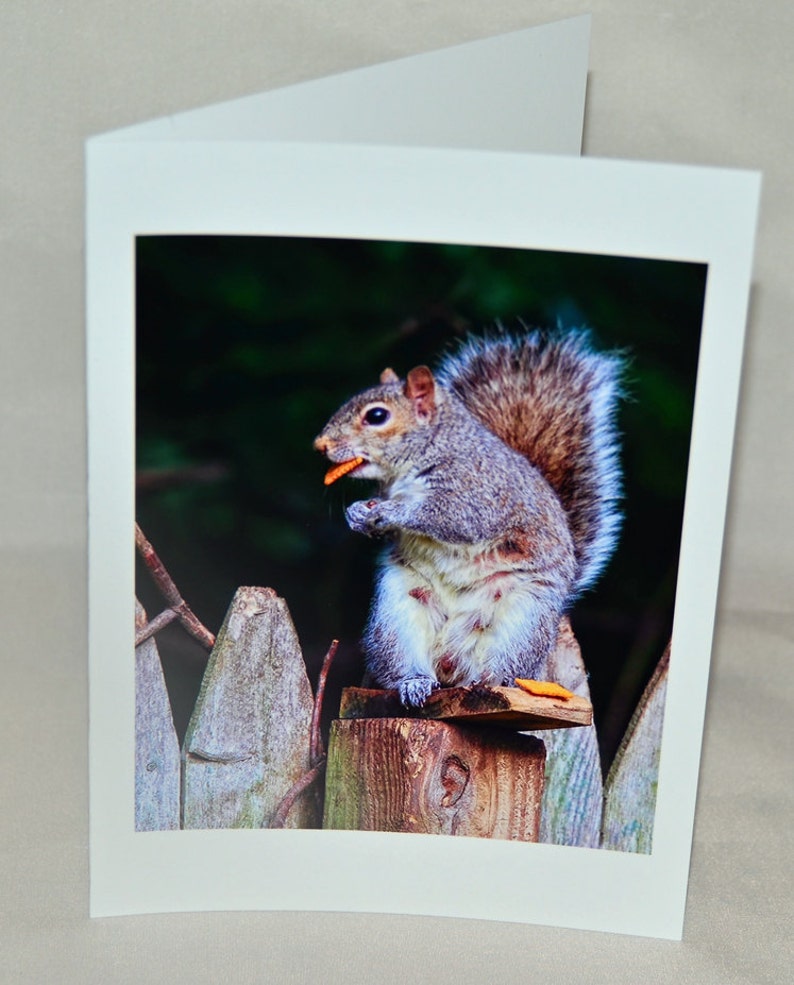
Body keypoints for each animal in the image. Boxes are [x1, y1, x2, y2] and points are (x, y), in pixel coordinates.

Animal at [314, 329, 623, 708]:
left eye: (376, 416)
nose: (321, 444)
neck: (433, 447)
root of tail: (451, 666)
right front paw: (358, 514)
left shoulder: (477, 494)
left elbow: (449, 519)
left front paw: (389, 512)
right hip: (396, 616)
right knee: (404, 663)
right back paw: (414, 682)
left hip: (522, 620)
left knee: (505, 673)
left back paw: (491, 683)